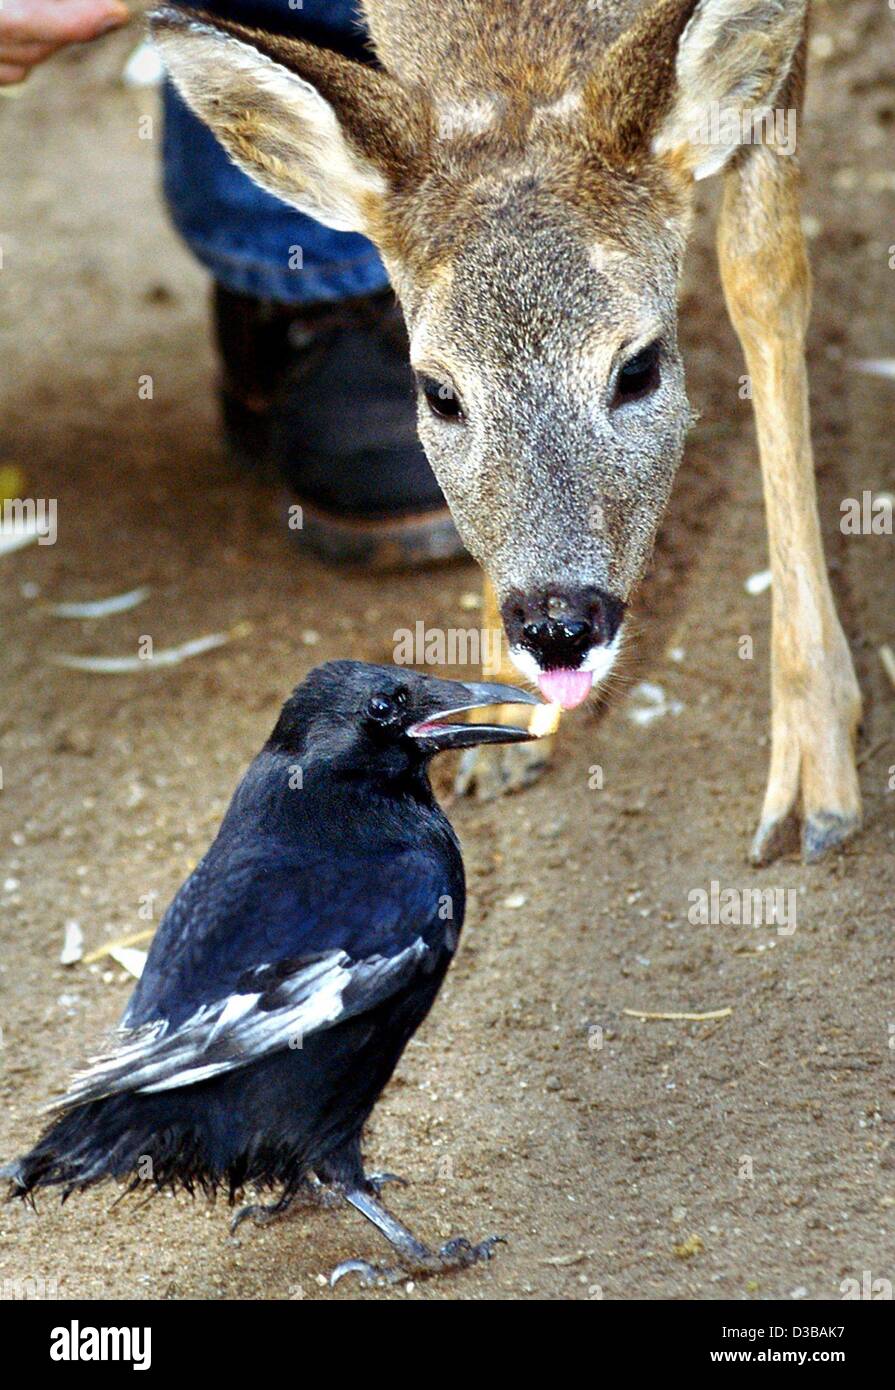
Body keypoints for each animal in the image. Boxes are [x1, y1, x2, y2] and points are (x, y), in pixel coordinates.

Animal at [150, 0, 862, 866]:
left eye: (637, 369)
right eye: (438, 394)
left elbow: (763, 273)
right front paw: (508, 712)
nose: (557, 629)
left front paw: (815, 772)